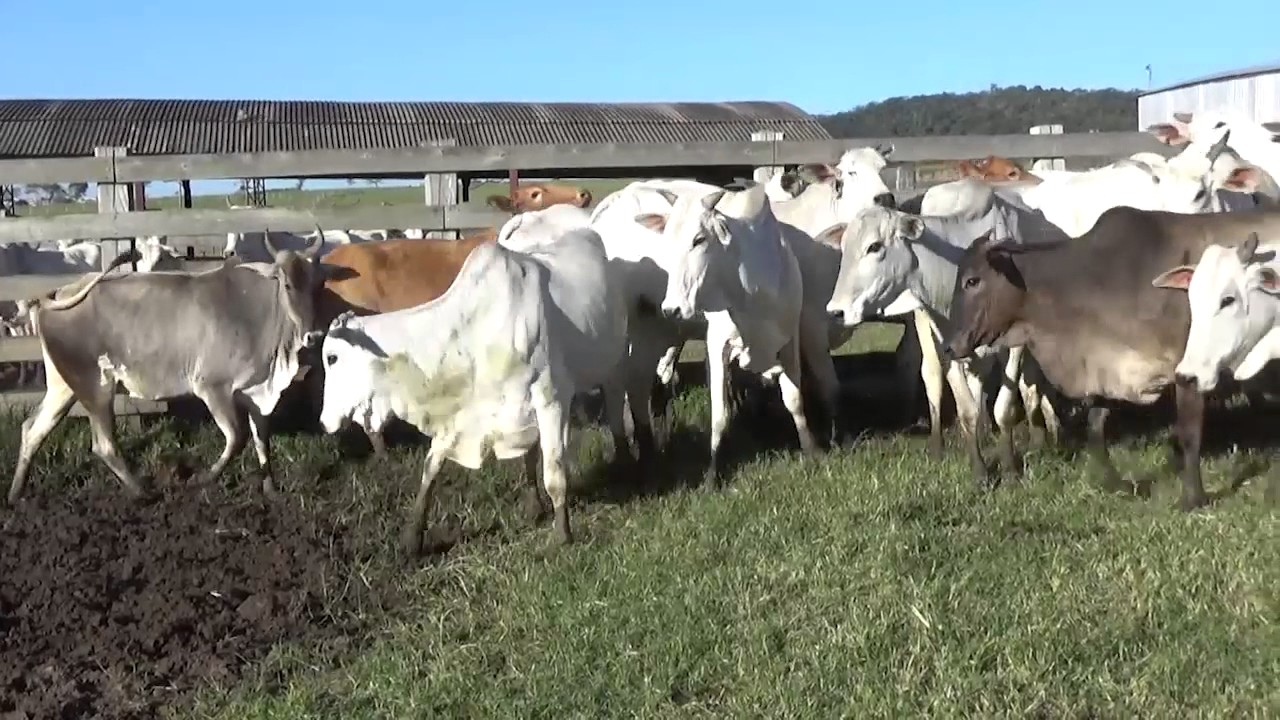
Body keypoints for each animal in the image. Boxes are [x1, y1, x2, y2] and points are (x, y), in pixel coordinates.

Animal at [8, 232, 328, 504]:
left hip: (64, 386)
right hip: (96, 386)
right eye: (287, 284)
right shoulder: (213, 387)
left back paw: (15, 493)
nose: (313, 336)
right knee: (103, 445)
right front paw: (201, 478)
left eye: (317, 285)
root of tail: (60, 292)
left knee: (32, 430)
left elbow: (262, 440)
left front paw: (270, 488)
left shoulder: (255, 392)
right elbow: (237, 438)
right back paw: (142, 492)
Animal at [314, 204, 628, 555]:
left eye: (332, 357)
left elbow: (555, 474)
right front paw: (412, 538)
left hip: (614, 366)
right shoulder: (461, 411)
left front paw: (563, 534)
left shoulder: (551, 399)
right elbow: (431, 468)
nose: (324, 421)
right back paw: (535, 505)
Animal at [820, 192, 1071, 481]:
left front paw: (1010, 468)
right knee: (935, 379)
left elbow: (1006, 407)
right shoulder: (946, 344)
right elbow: (967, 410)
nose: (836, 311)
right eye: (844, 248)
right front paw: (980, 472)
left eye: (874, 246)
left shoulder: (1015, 345)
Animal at [940, 205, 1280, 509]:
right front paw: (1116, 483)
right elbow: (1095, 427)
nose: (948, 346)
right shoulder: (1107, 369)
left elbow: (1189, 432)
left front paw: (1193, 497)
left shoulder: (1189, 369)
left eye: (972, 281)